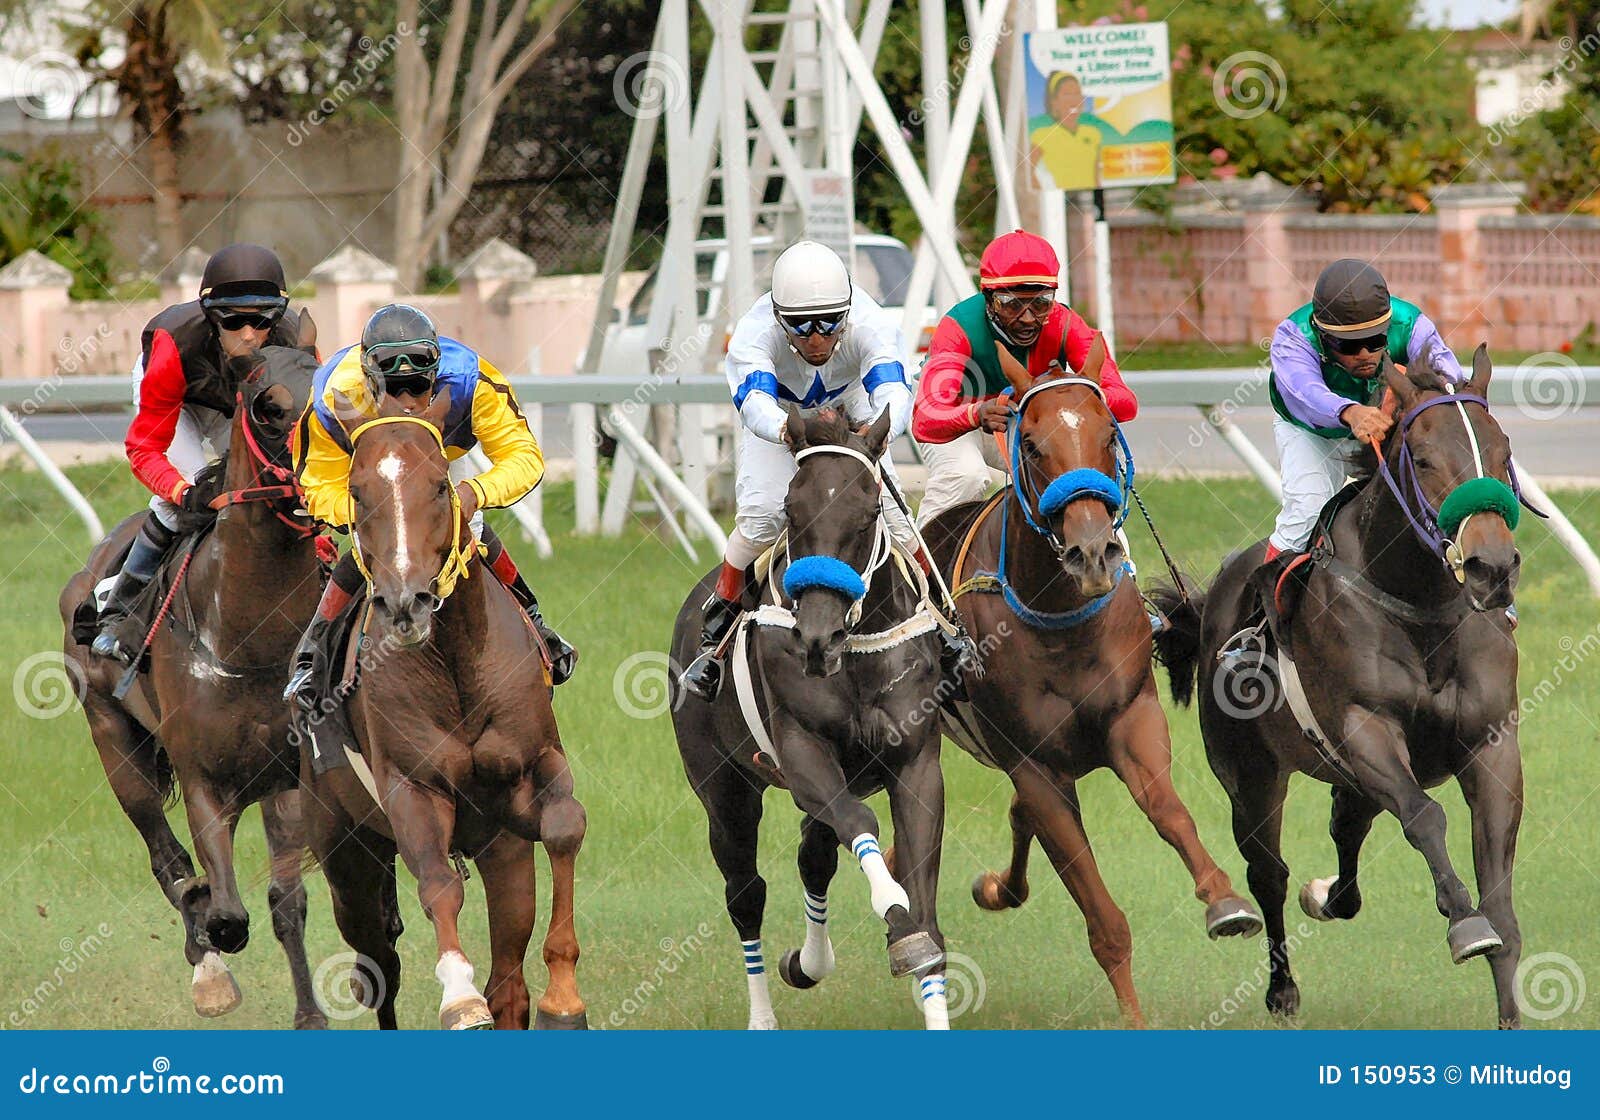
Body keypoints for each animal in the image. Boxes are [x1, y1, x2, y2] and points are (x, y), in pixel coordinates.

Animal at [59, 323, 328, 1027]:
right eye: (267, 406)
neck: (253, 636)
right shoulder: (205, 778)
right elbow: (224, 909)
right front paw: (211, 954)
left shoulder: (288, 775)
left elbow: (286, 903)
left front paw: (311, 1013)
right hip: (115, 744)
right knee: (167, 857)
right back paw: (206, 965)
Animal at [298, 389, 587, 1030]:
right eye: (358, 492)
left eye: (437, 485)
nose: (406, 603)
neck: (454, 661)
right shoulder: (413, 787)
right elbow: (437, 885)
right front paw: (458, 994)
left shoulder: (533, 771)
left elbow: (564, 826)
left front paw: (564, 995)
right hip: (344, 854)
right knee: (378, 967)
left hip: (502, 854)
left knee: (510, 985)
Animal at [669, 407, 952, 1029]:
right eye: (792, 510)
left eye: (869, 511)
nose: (818, 638)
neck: (857, 651)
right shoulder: (802, 754)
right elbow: (863, 827)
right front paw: (890, 906)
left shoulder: (916, 761)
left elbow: (924, 908)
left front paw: (913, 942)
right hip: (723, 790)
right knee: (746, 891)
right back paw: (763, 1015)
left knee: (814, 853)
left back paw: (808, 962)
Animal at [923, 337, 1261, 1027]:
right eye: (1030, 444)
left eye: (1108, 433)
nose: (1093, 552)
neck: (1057, 618)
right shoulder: (1034, 764)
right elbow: (1102, 918)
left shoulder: (1132, 716)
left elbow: (1167, 810)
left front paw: (1226, 902)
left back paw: (997, 886)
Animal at [1151, 347, 1529, 1028]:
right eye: (1423, 457)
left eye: (1502, 448)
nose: (1491, 567)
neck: (1421, 607)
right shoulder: (1365, 729)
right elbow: (1426, 817)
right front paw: (1465, 923)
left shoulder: (1493, 744)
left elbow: (1497, 877)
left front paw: (1509, 1005)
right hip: (1250, 773)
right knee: (1268, 872)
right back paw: (1281, 988)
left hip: (1347, 778)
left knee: (1345, 832)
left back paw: (1326, 895)